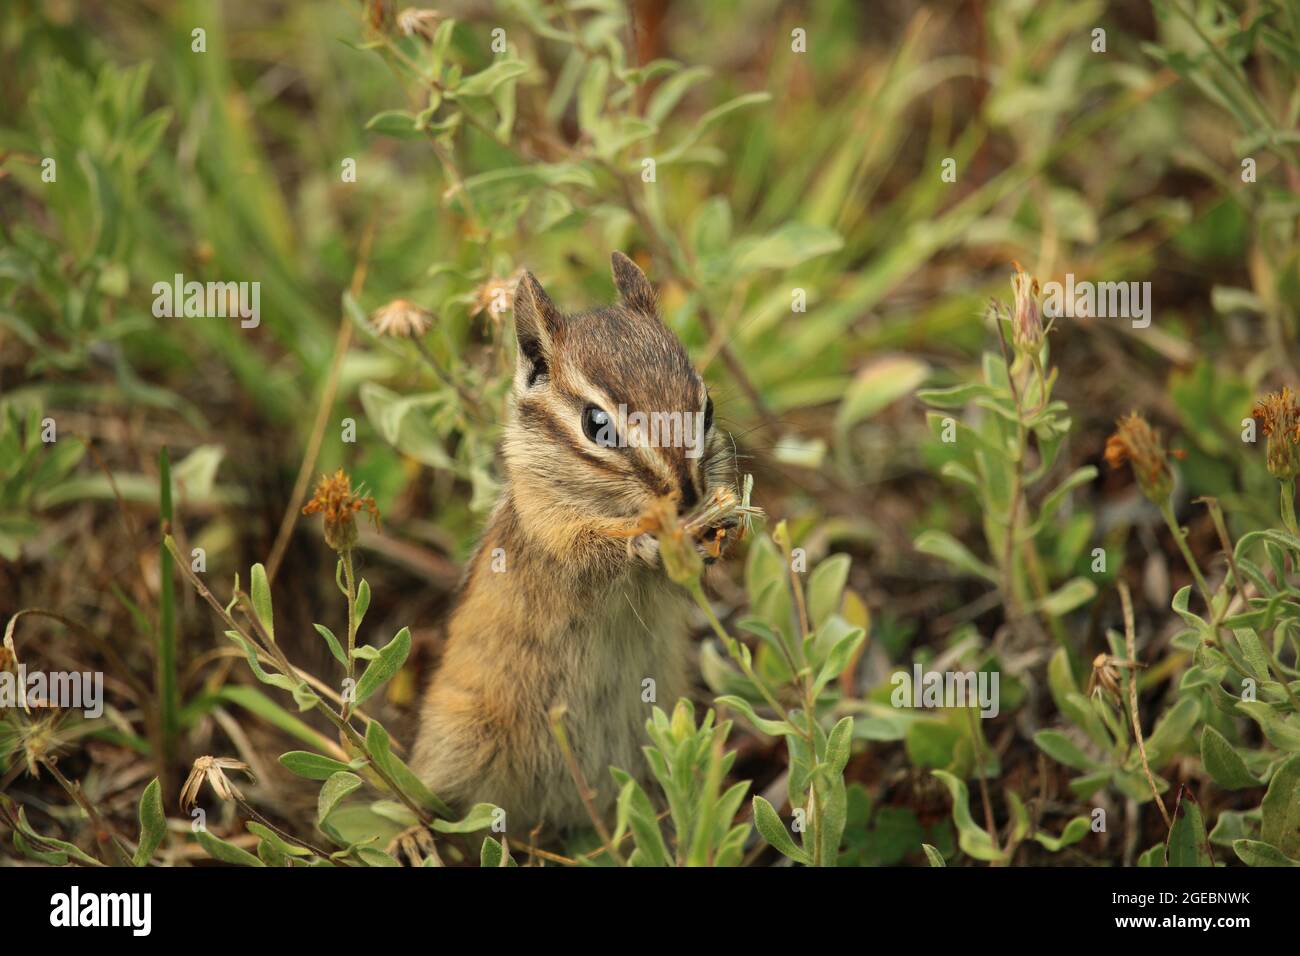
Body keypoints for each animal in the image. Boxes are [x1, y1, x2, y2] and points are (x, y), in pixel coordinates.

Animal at [412, 252, 738, 835]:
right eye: (597, 425)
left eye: (707, 410)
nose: (689, 496)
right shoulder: (551, 536)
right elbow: (588, 555)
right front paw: (645, 542)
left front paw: (718, 532)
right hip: (462, 739)